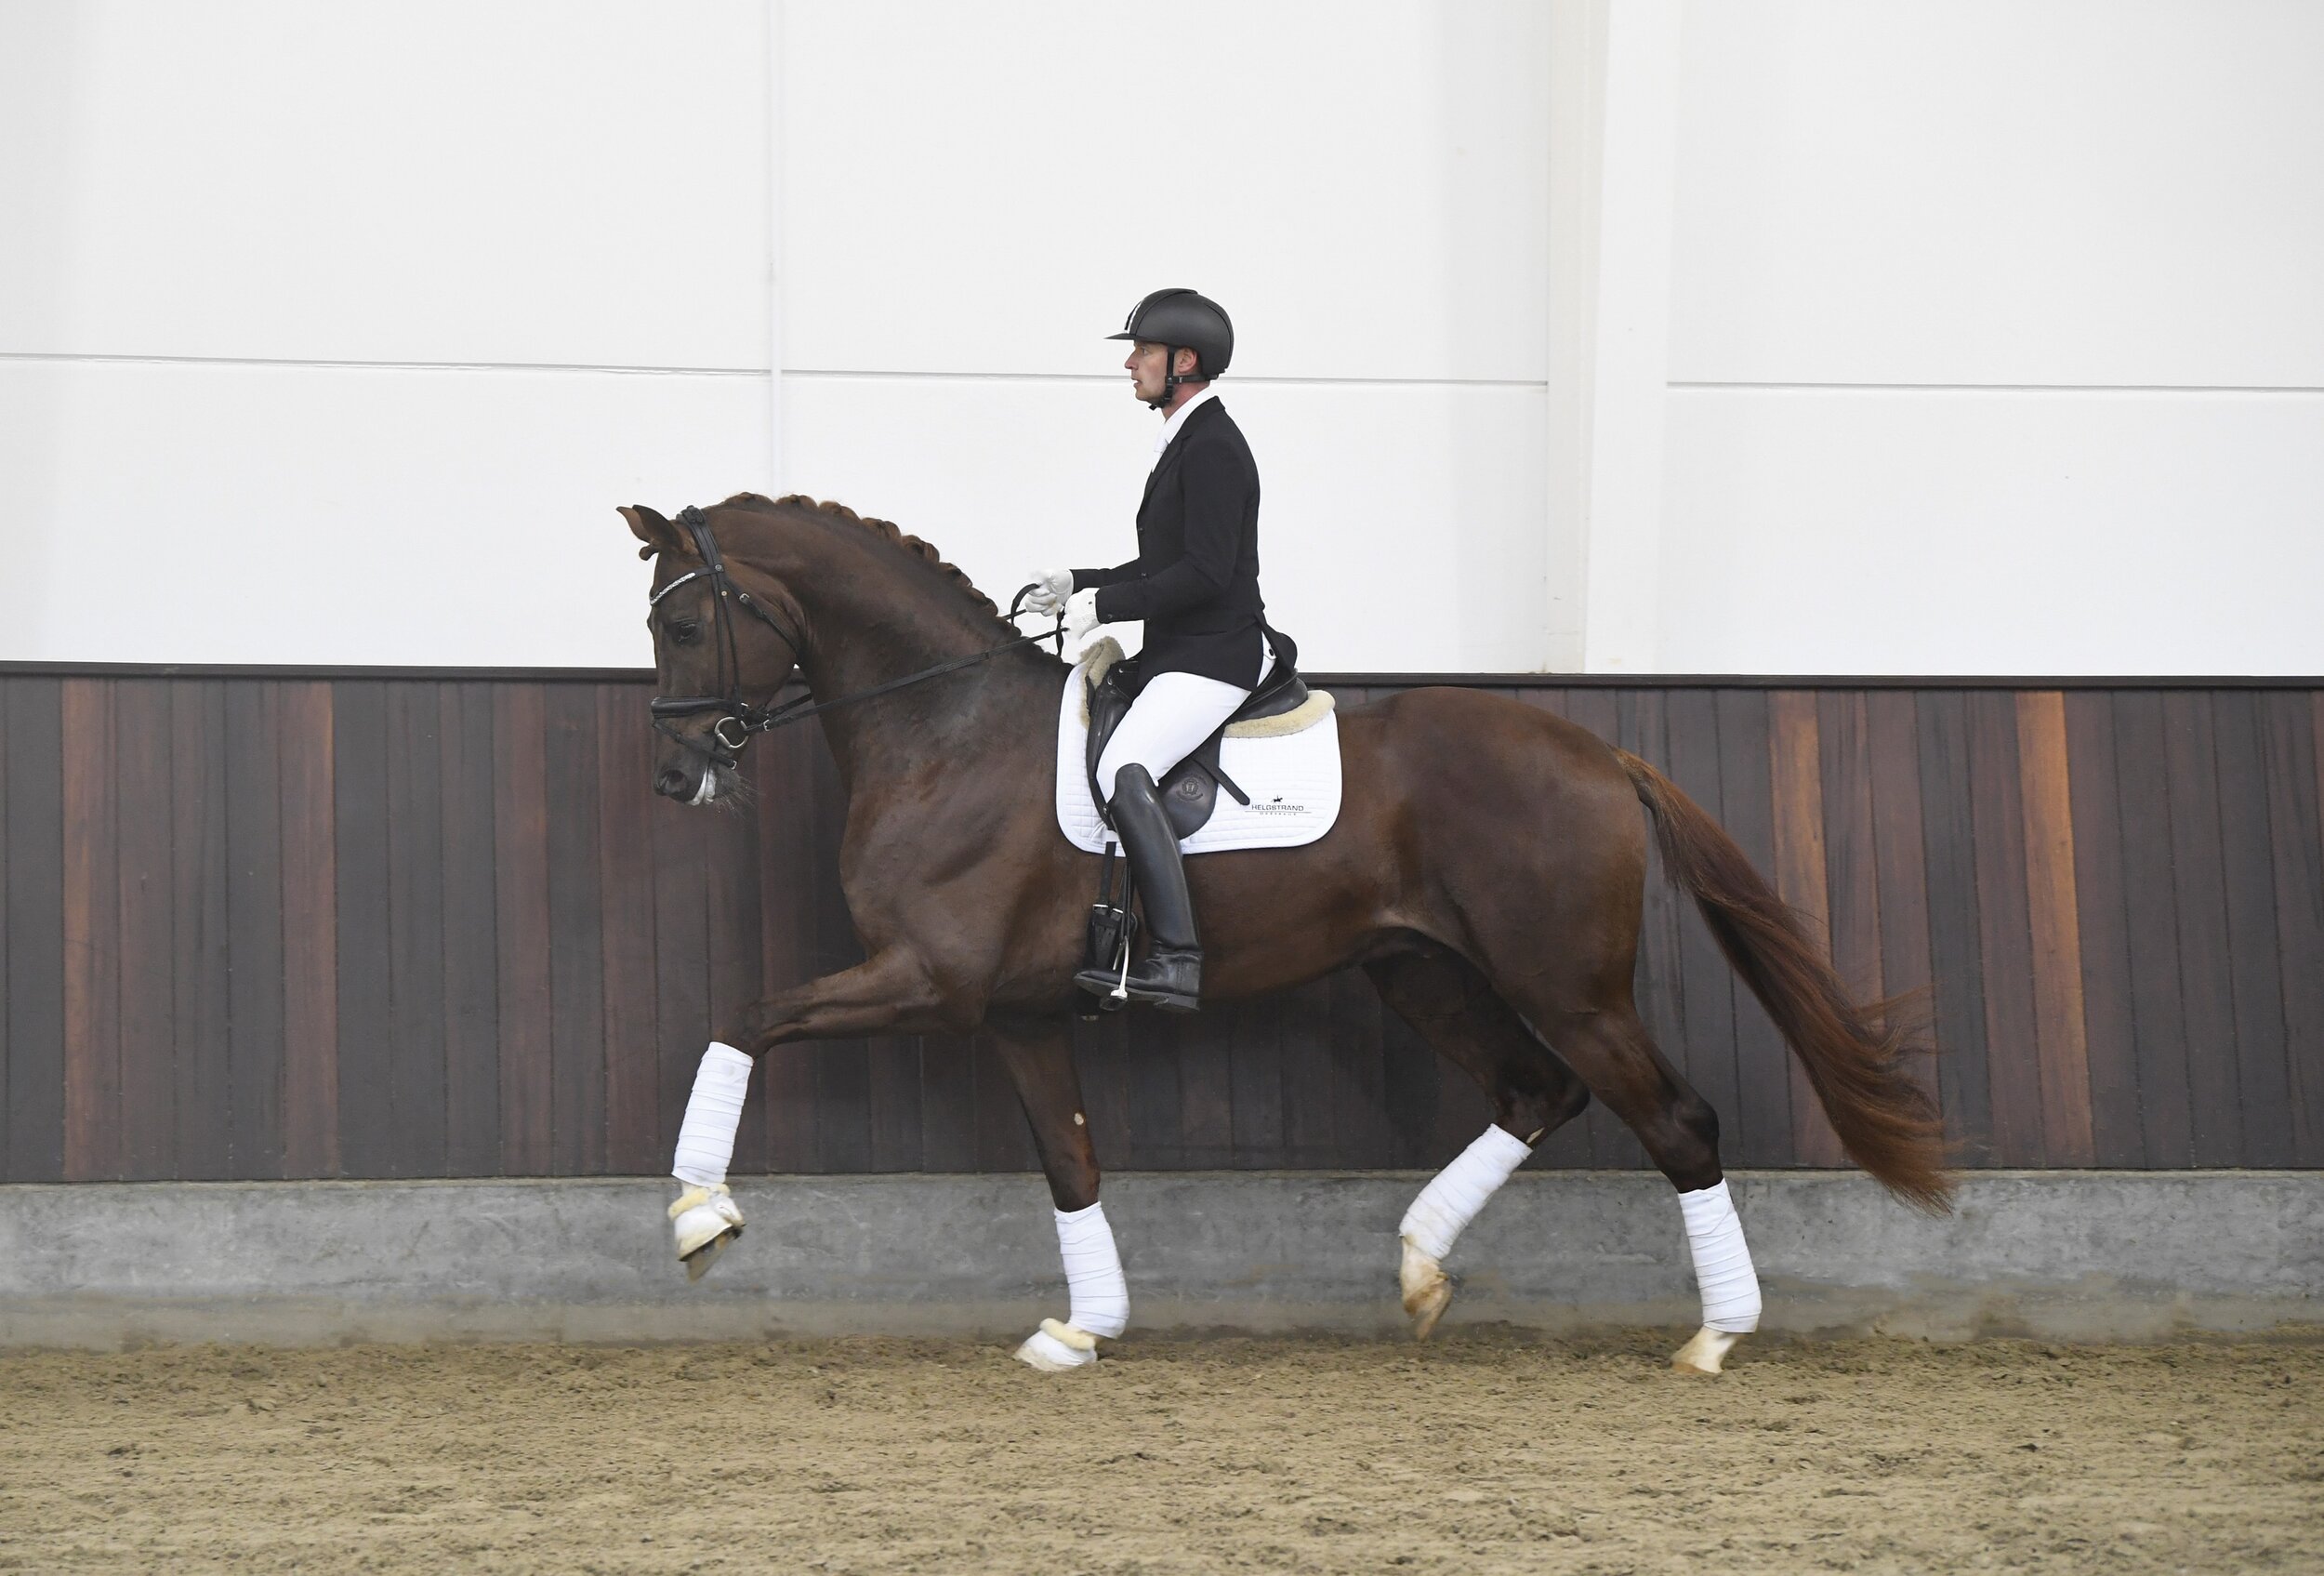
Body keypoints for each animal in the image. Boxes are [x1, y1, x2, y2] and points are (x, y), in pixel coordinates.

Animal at [622, 492, 1951, 1374]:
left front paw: (699, 1218)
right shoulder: (1016, 1014)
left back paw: (1715, 1336)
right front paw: (1081, 1329)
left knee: (1674, 1119)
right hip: (1421, 971)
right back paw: (1420, 1269)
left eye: (682, 629)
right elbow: (1071, 1163)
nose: (676, 776)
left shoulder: (928, 982)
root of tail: (1597, 753)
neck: (944, 730)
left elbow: (743, 1016)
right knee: (1538, 1093)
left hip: (1565, 983)